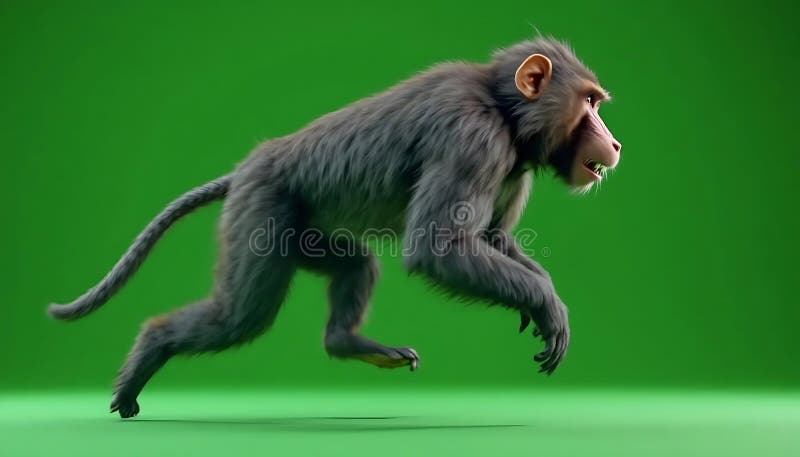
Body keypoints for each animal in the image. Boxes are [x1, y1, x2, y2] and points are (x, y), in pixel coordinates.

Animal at [47, 37, 621, 418]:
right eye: (589, 103)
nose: (614, 142)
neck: (505, 114)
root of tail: (253, 164)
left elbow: (491, 240)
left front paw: (540, 294)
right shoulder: (471, 139)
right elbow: (437, 248)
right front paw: (545, 303)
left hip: (296, 229)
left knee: (355, 264)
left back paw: (347, 342)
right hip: (261, 207)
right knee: (241, 315)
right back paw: (150, 351)